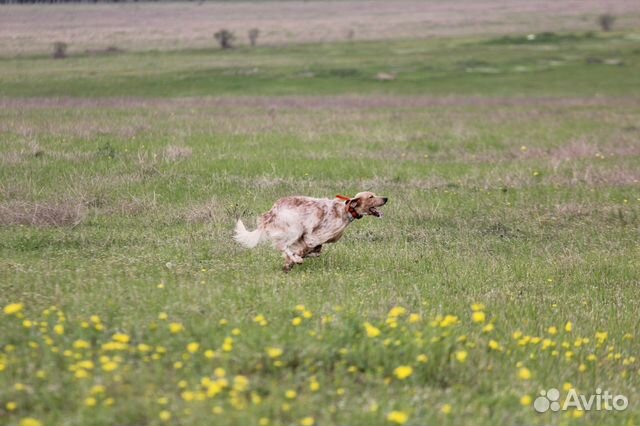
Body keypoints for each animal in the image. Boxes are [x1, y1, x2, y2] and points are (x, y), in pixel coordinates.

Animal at [234, 191, 388, 272]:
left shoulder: (313, 240)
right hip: (295, 228)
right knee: (282, 245)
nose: (386, 198)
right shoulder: (313, 237)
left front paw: (291, 261)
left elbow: (316, 251)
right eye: (371, 197)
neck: (346, 210)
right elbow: (307, 249)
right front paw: (293, 260)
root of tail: (273, 210)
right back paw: (296, 259)